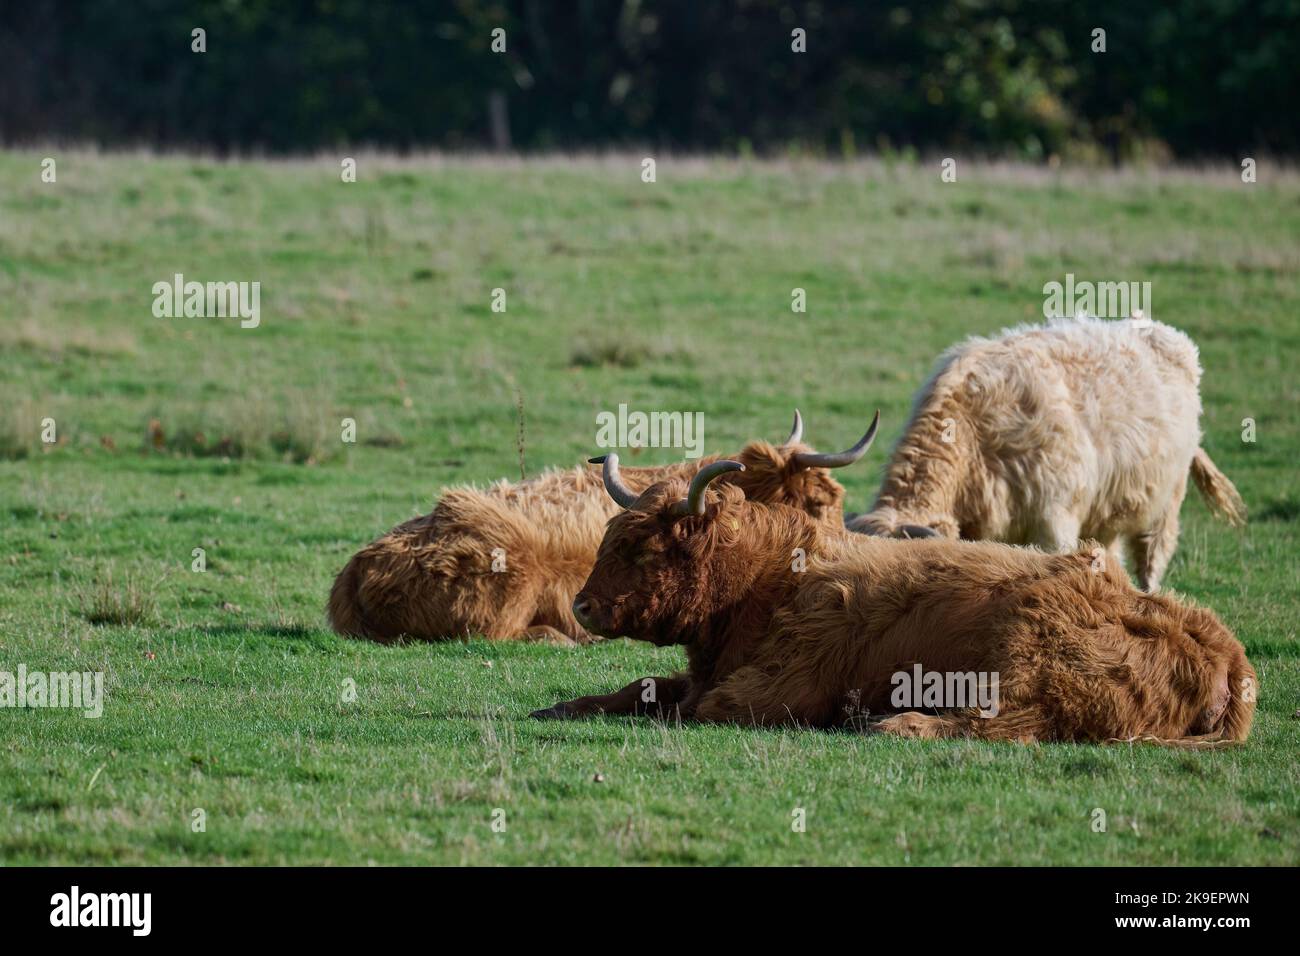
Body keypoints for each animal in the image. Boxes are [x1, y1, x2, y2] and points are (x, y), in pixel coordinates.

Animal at [532, 456, 1256, 746]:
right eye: (609, 538)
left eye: (643, 550)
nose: (584, 607)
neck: (765, 583)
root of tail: (1220, 645)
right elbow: (640, 688)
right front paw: (560, 705)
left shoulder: (771, 691)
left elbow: (687, 707)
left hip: (1027, 661)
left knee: (1010, 724)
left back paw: (896, 722)